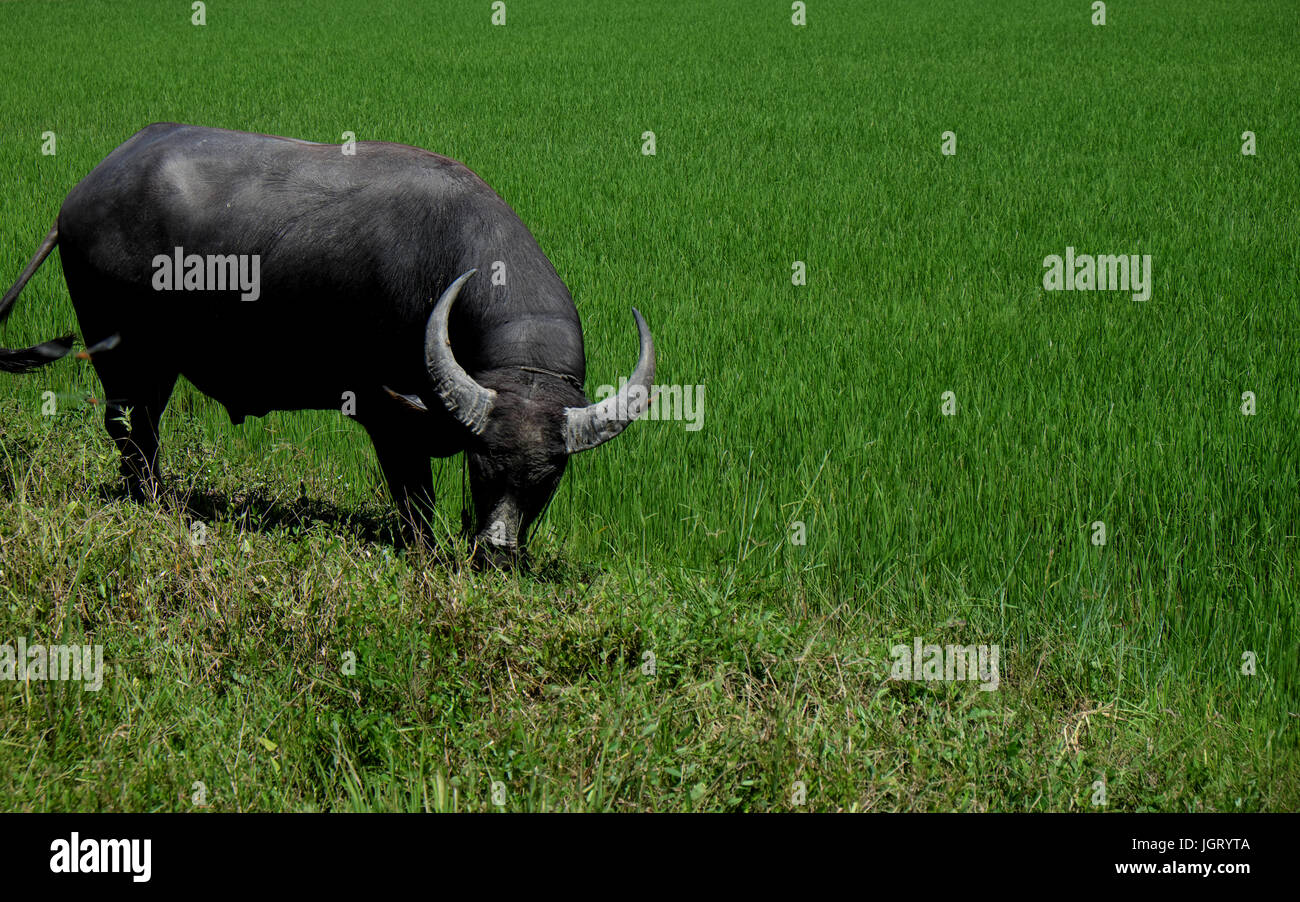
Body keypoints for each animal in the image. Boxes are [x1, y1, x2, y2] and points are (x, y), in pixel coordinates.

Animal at [0, 123, 654, 567]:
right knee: (126, 426)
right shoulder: (390, 421)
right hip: (122, 351)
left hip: (160, 364)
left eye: (550, 476)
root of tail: (79, 198)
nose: (497, 552)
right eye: (481, 464)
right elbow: (416, 504)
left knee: (145, 426)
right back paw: (154, 506)